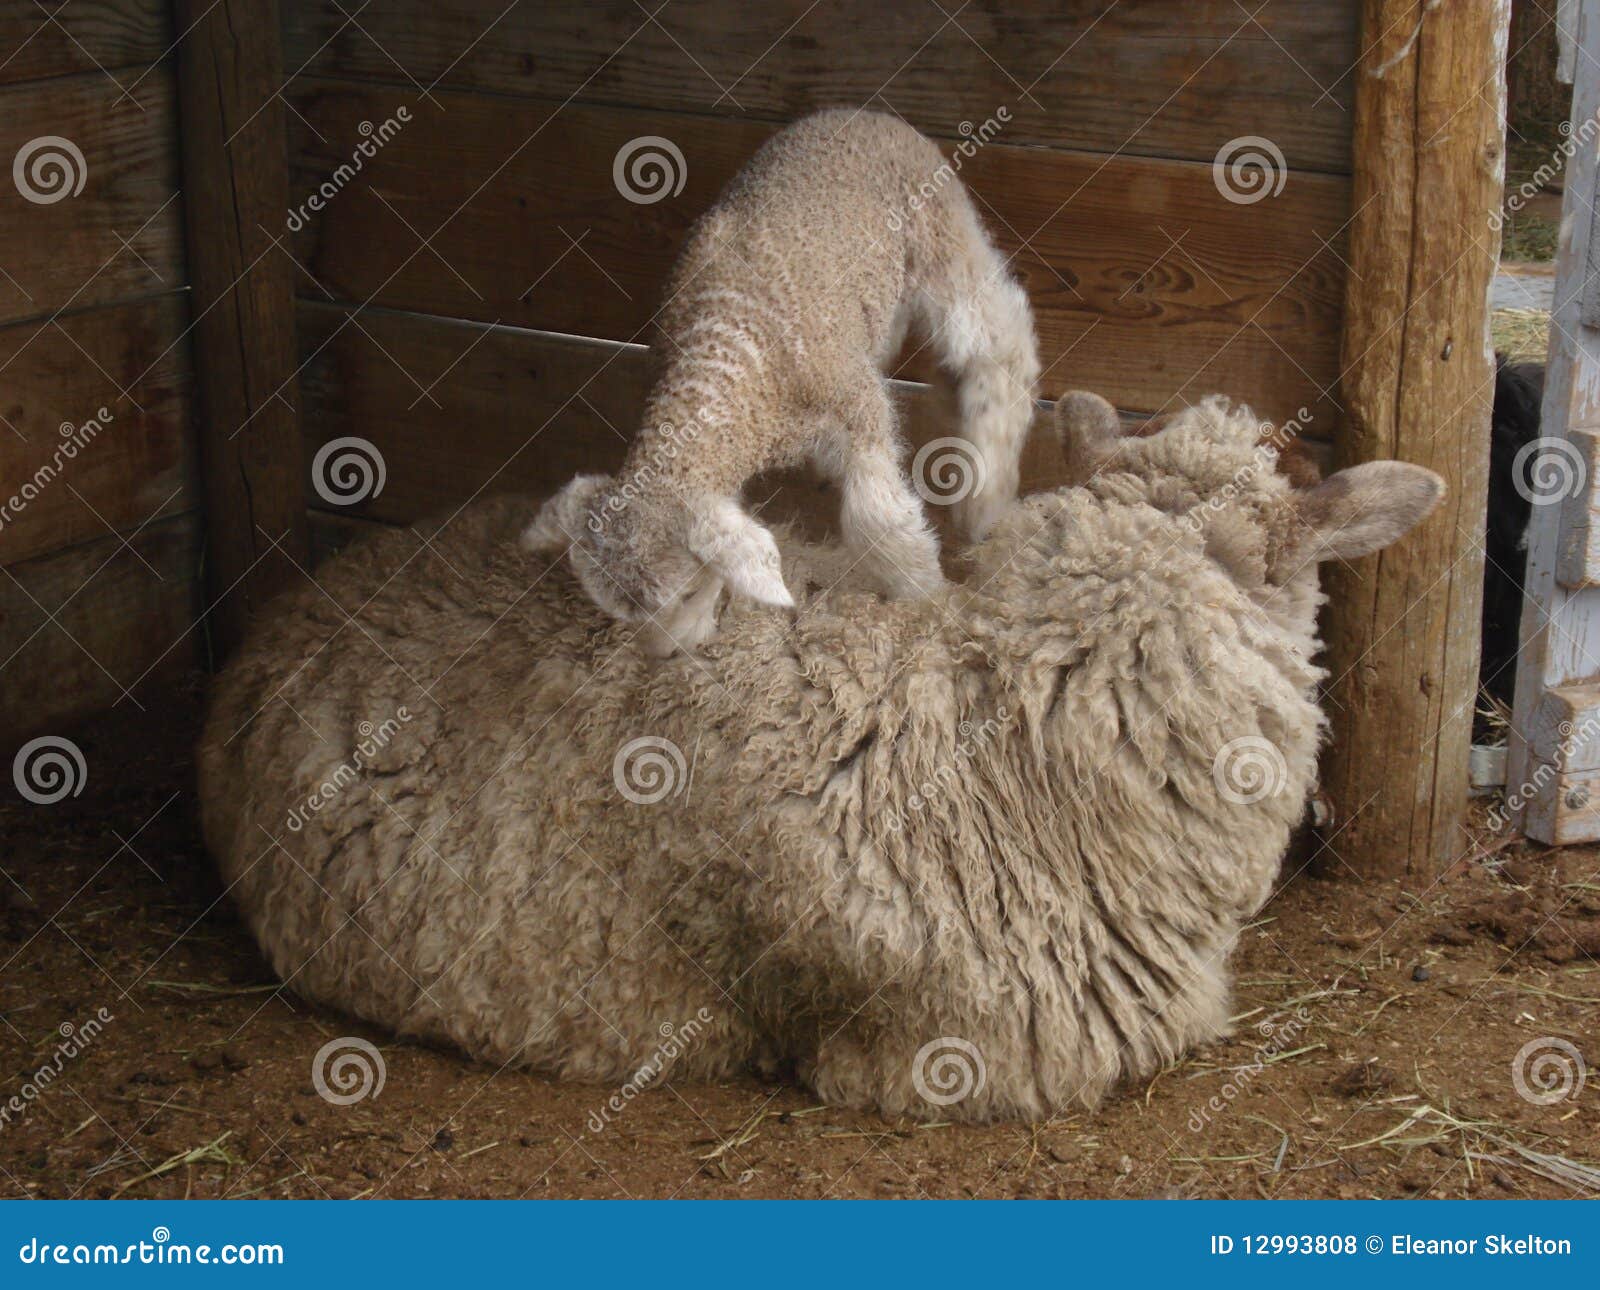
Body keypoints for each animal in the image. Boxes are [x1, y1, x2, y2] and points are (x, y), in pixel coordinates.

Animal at [523, 108, 1039, 656]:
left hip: (942, 239)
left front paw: (923, 595)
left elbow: (879, 523)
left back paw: (986, 497)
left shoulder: (858, 410)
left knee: (1001, 338)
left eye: (687, 593)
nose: (665, 658)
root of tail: (866, 112)